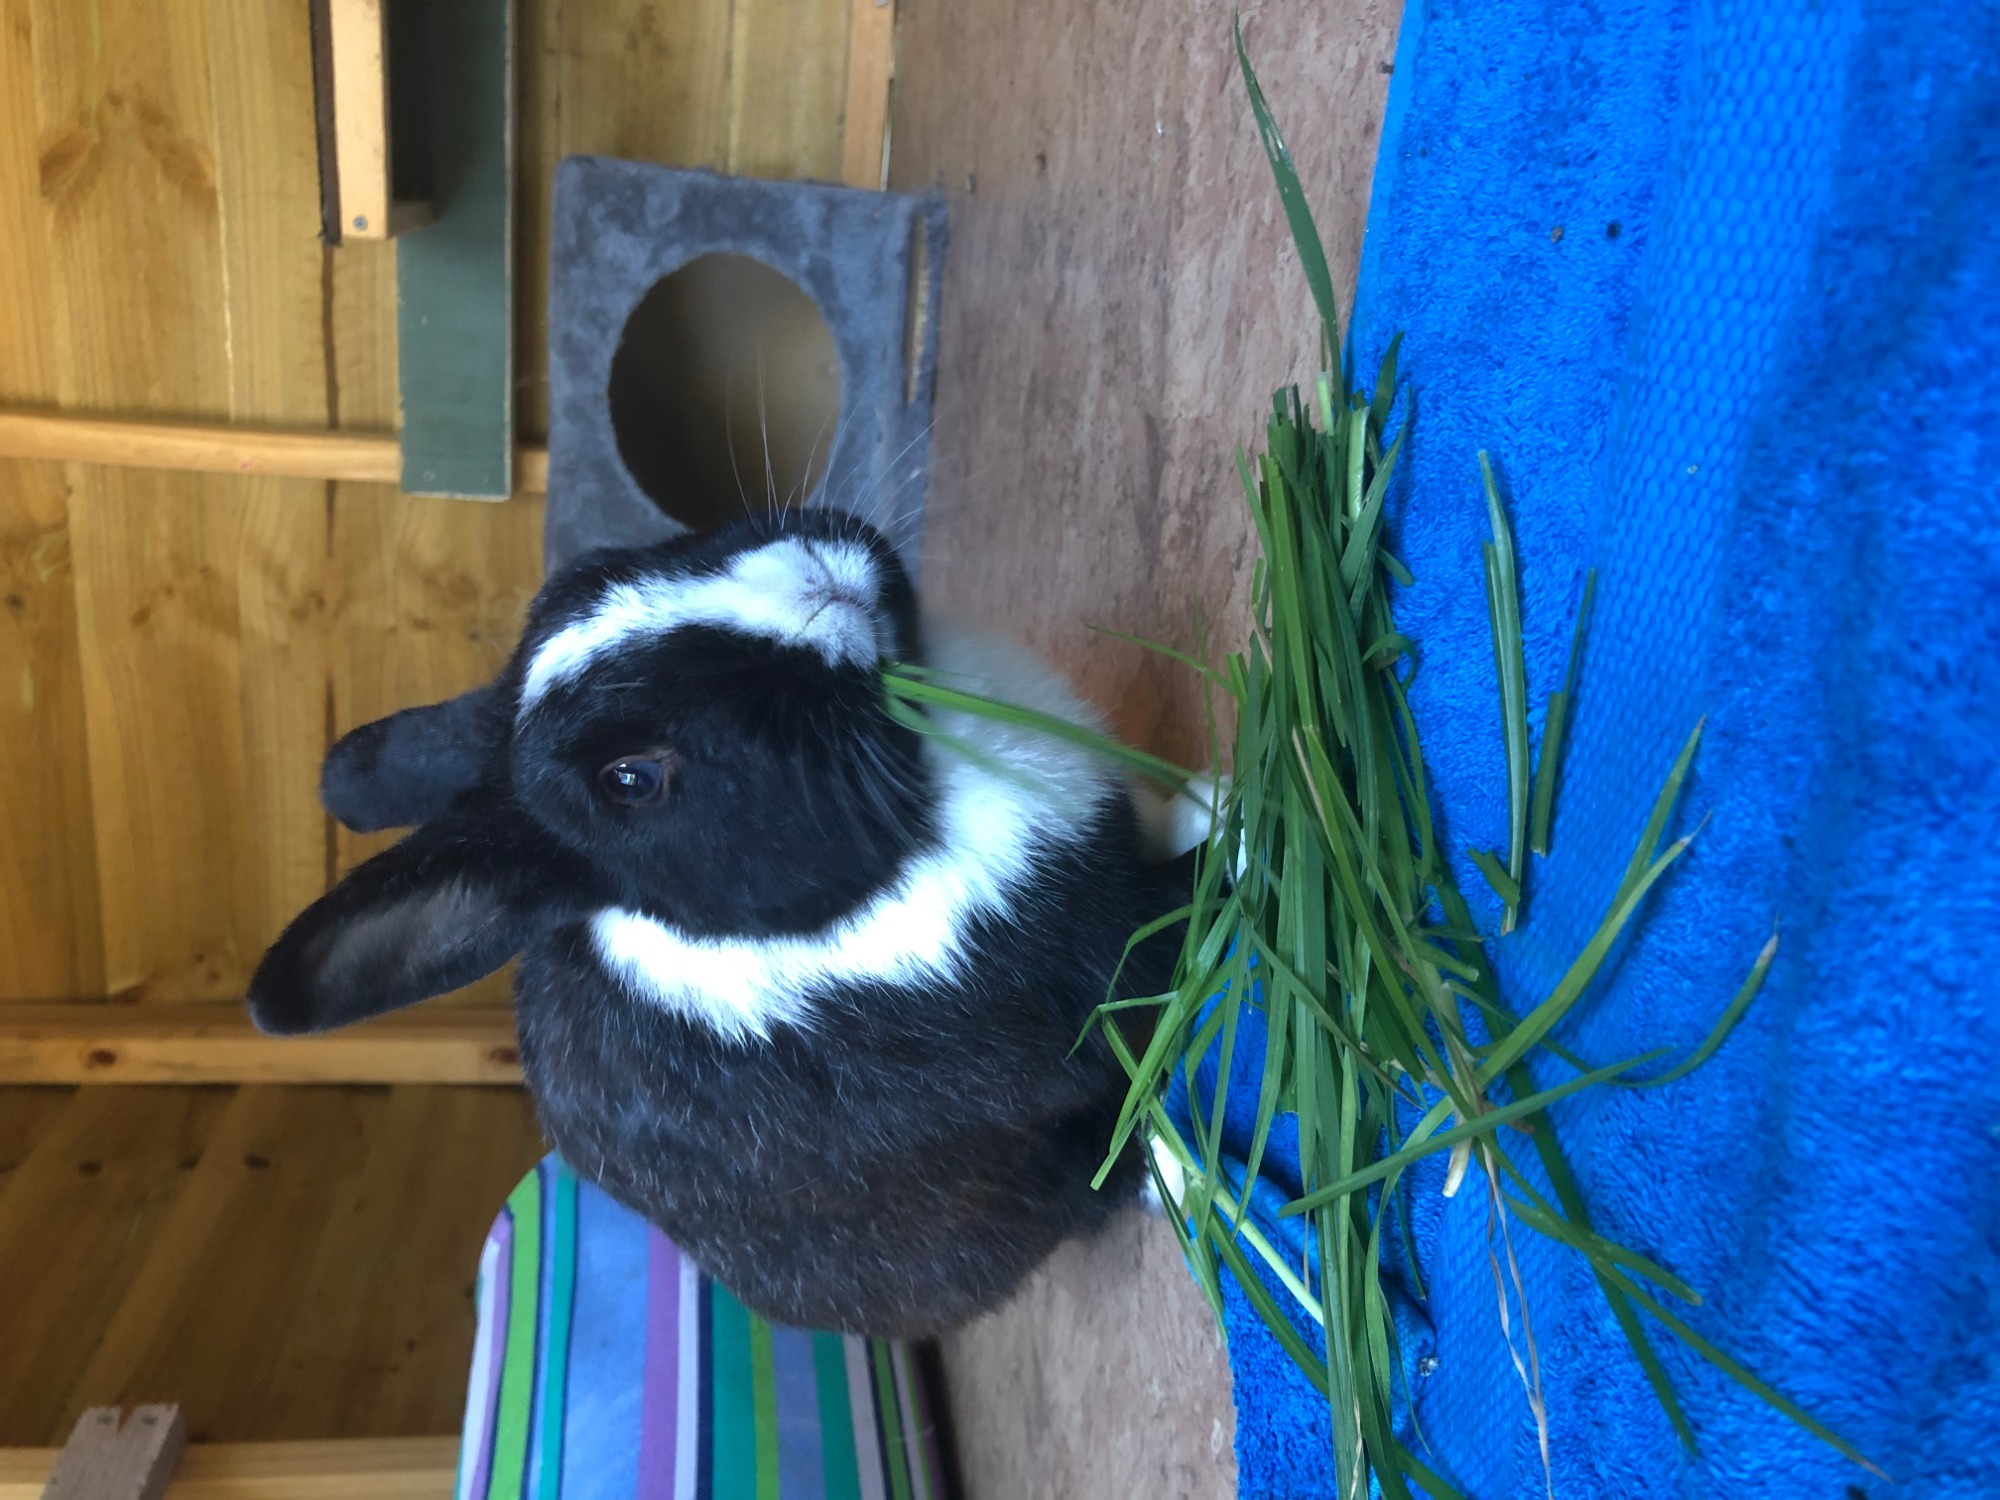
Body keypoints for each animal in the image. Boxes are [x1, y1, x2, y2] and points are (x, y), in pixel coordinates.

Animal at [248, 506, 1203, 1339]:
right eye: (630, 781)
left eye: (594, 569)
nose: (815, 584)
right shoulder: (1079, 969)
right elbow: (1175, 922)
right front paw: (1238, 811)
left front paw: (1198, 798)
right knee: (1096, 1181)